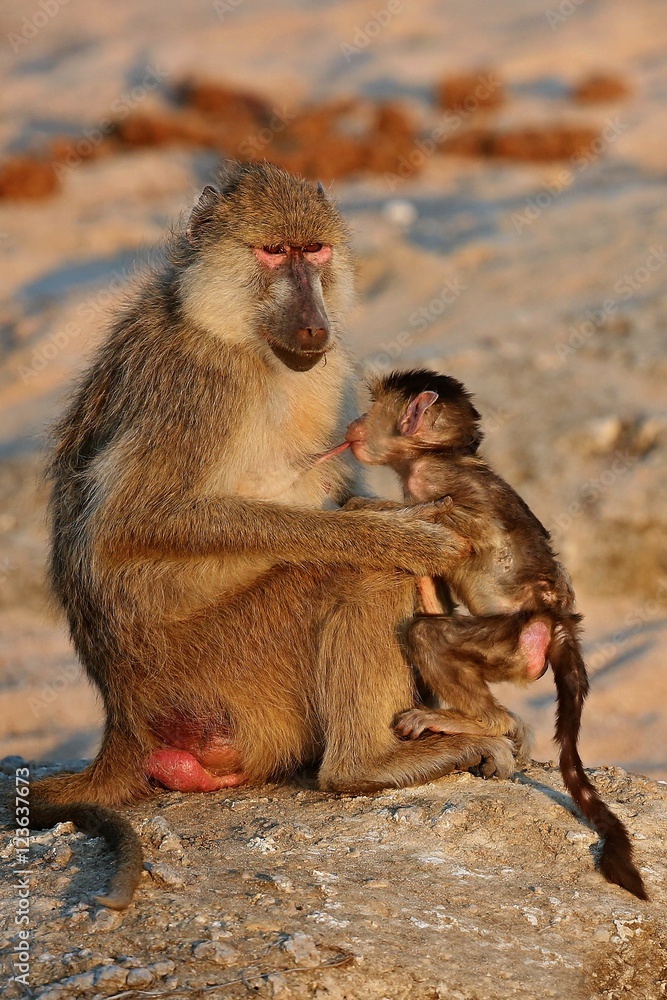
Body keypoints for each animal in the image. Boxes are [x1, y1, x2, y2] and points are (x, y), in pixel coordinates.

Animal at [25, 163, 515, 910]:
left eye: (314, 251)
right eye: (273, 254)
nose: (313, 323)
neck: (236, 333)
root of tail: (123, 714)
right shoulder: (200, 386)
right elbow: (137, 521)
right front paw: (400, 537)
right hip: (218, 672)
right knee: (360, 579)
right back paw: (367, 766)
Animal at [338, 368, 647, 900]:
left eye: (371, 409)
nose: (354, 423)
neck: (440, 456)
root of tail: (557, 624)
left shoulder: (434, 482)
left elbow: (456, 531)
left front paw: (364, 509)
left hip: (510, 643)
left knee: (429, 636)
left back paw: (487, 723)